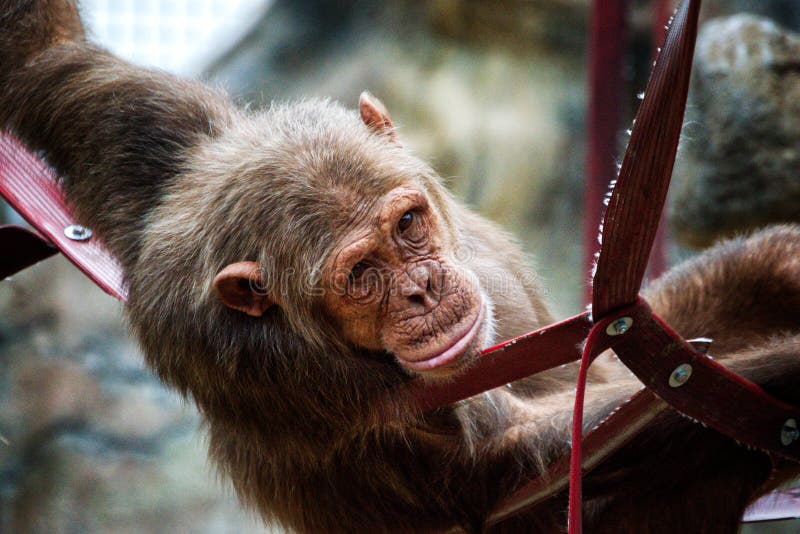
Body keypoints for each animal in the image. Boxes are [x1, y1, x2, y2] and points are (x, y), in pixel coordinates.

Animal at [1, 2, 800, 532]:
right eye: (361, 276)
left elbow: (49, 65)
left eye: (407, 225)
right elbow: (517, 447)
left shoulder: (161, 145)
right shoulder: (300, 382)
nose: (420, 289)